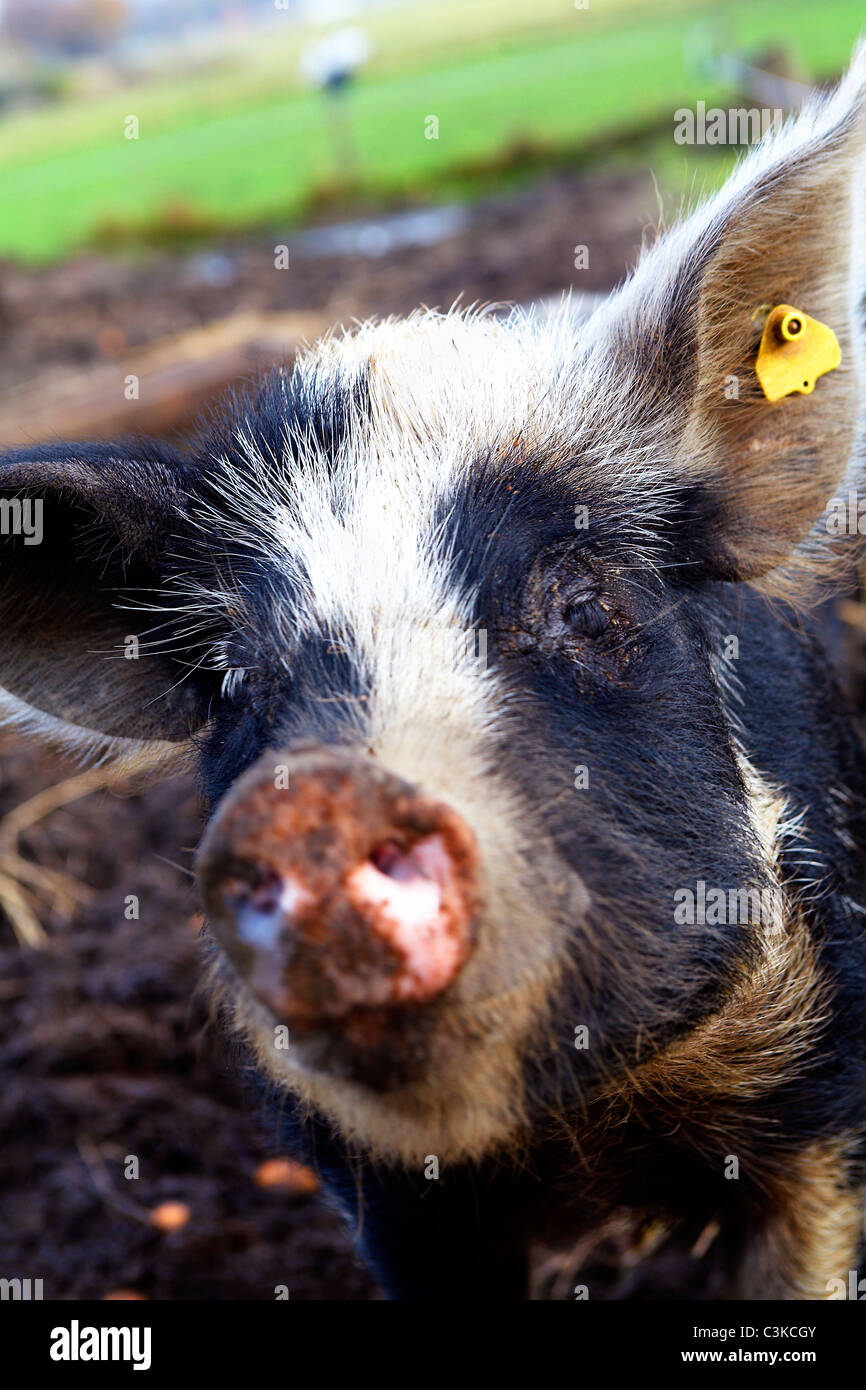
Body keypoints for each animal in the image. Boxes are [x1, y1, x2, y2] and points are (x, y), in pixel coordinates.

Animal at [3, 50, 866, 1301]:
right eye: (237, 684)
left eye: (584, 602)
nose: (321, 793)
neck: (595, 1123)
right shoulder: (386, 1197)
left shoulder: (822, 1090)